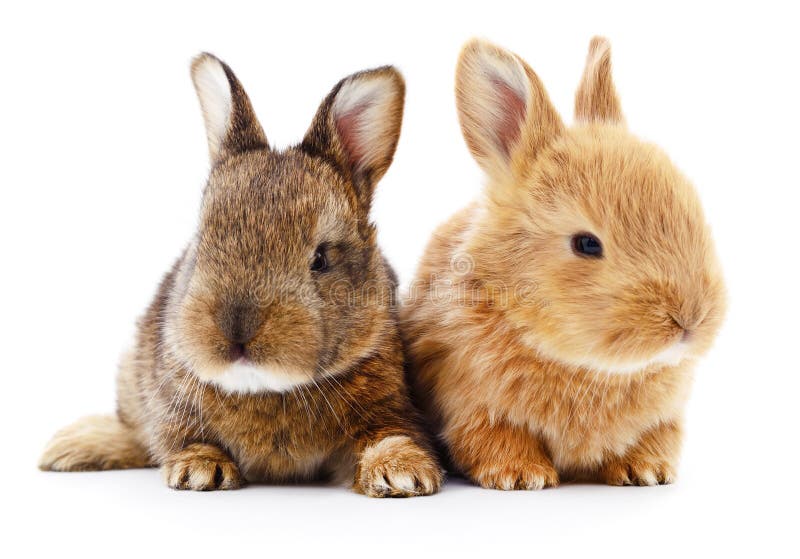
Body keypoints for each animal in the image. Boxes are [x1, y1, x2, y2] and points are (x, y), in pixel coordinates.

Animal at [39, 53, 442, 497]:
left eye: (320, 259)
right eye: (200, 241)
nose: (236, 331)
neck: (266, 389)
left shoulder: (390, 408)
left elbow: (391, 435)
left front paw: (401, 472)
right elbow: (182, 439)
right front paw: (199, 470)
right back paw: (72, 447)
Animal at [401, 37, 726, 490]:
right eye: (587, 244)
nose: (690, 320)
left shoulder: (665, 418)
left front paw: (646, 472)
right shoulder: (473, 406)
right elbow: (495, 438)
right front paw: (522, 476)